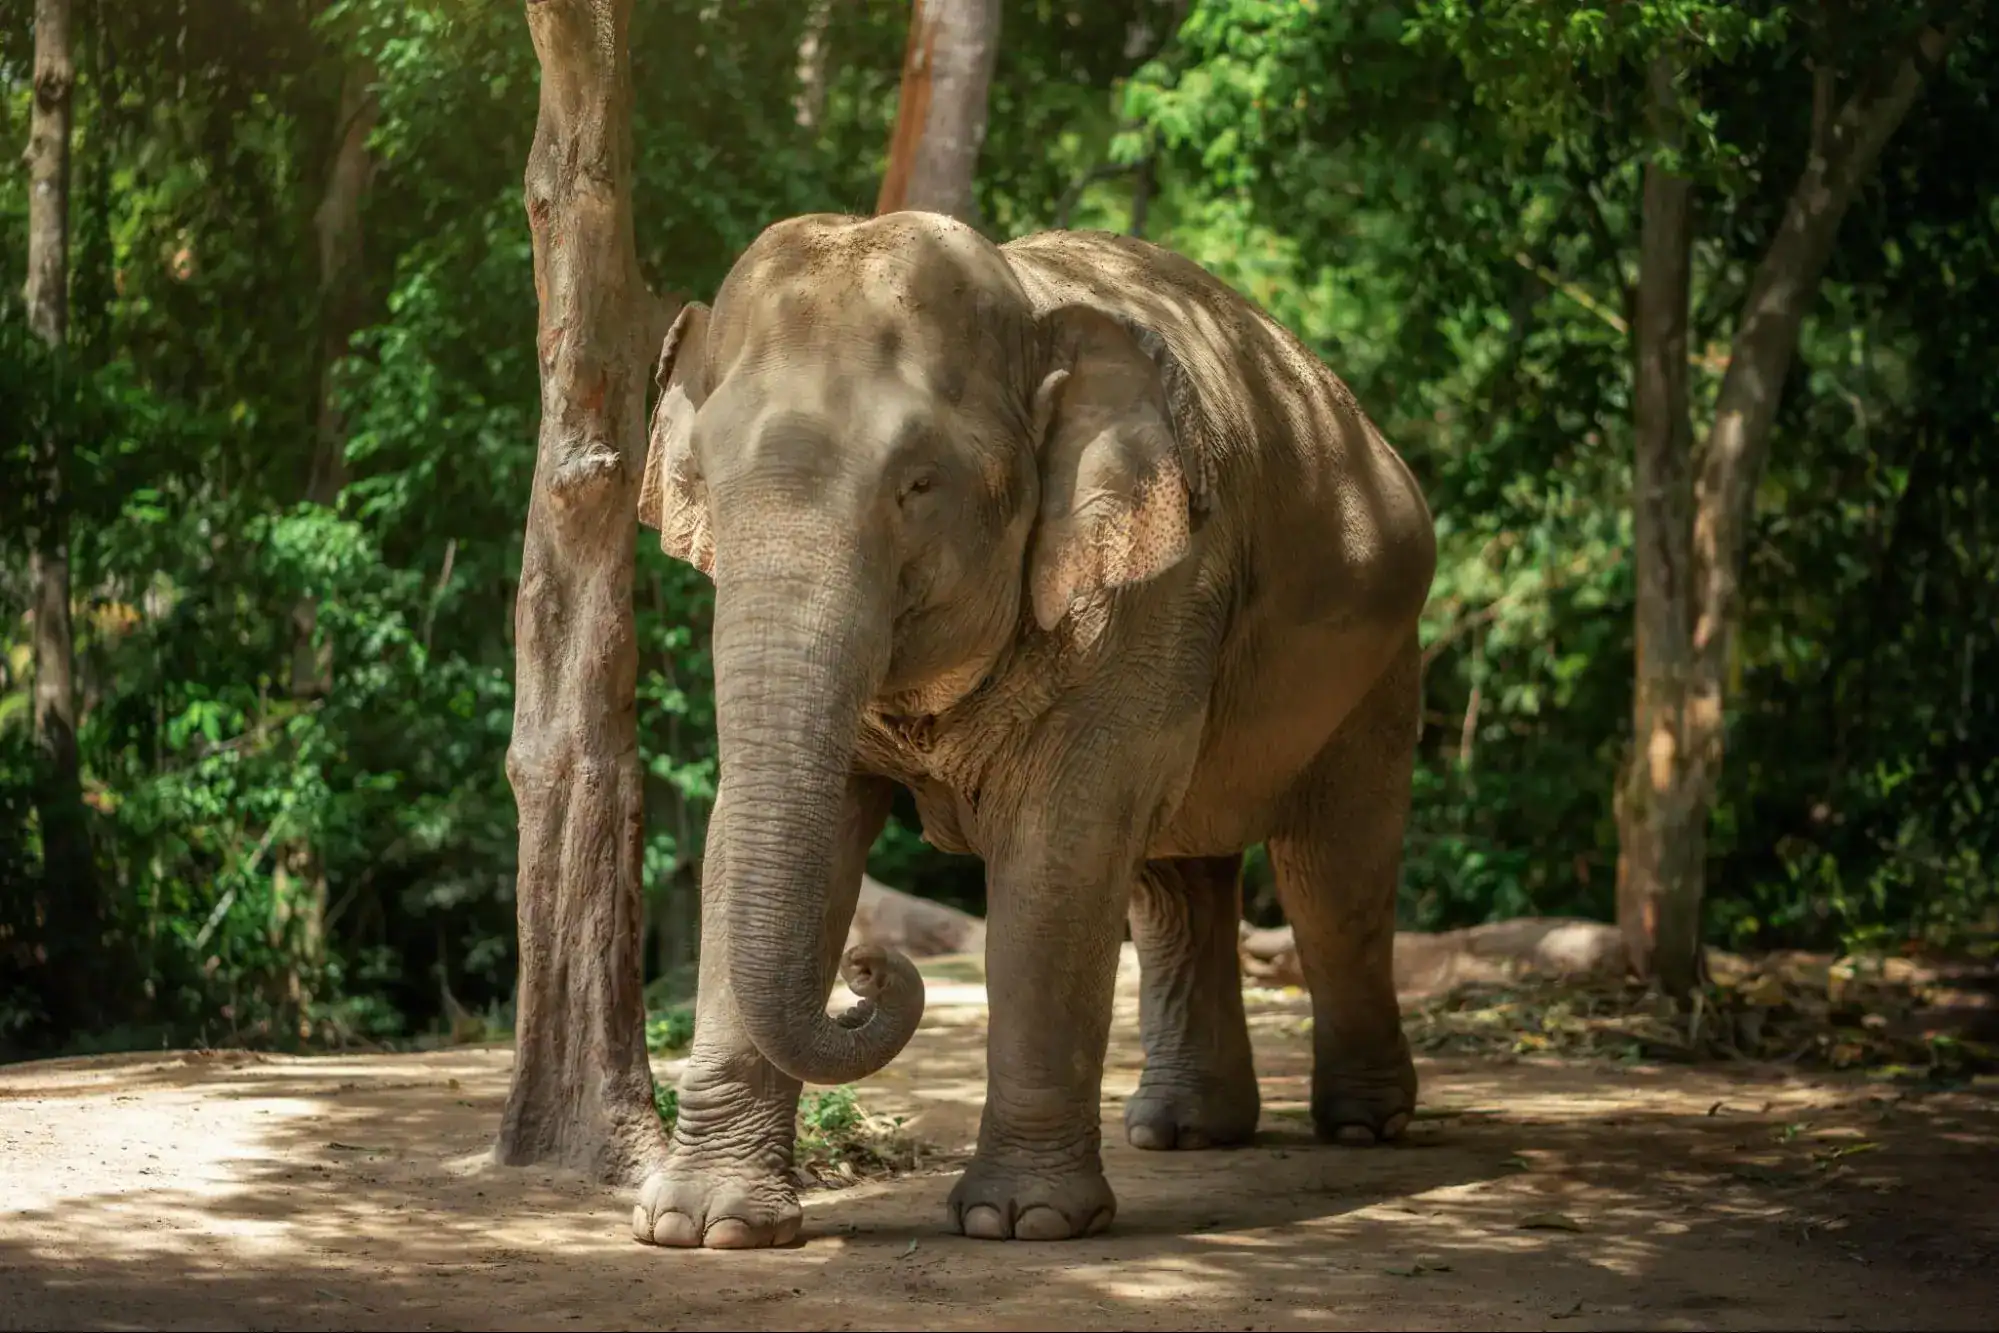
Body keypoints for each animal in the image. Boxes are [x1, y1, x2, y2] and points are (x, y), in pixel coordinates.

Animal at [630, 210, 1436, 1249]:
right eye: (703, 483)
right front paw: (700, 1228)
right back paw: (1183, 1131)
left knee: (1329, 874)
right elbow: (743, 840)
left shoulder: (1155, 586)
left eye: (917, 484)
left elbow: (1062, 849)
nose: (868, 966)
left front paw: (1022, 1220)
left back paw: (1365, 1124)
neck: (1026, 302)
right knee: (1178, 878)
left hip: (1379, 656)